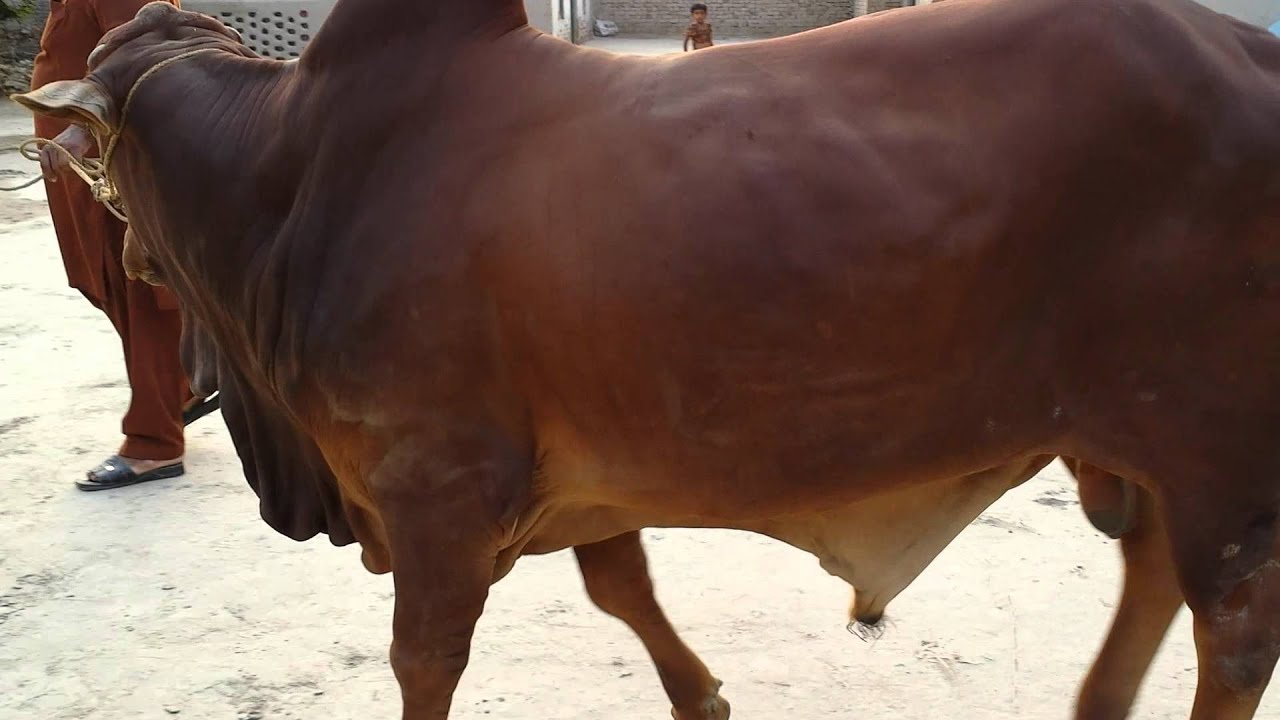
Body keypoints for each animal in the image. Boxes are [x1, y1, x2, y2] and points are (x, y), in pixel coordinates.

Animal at [13, 0, 1280, 717]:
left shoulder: (433, 492)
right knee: (1151, 574)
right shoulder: (579, 472)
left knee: (1230, 631)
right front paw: (702, 696)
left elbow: (425, 661)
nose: (123, 243)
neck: (286, 179)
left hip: (1212, 438)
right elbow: (619, 586)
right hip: (1131, 437)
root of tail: (1248, 47)